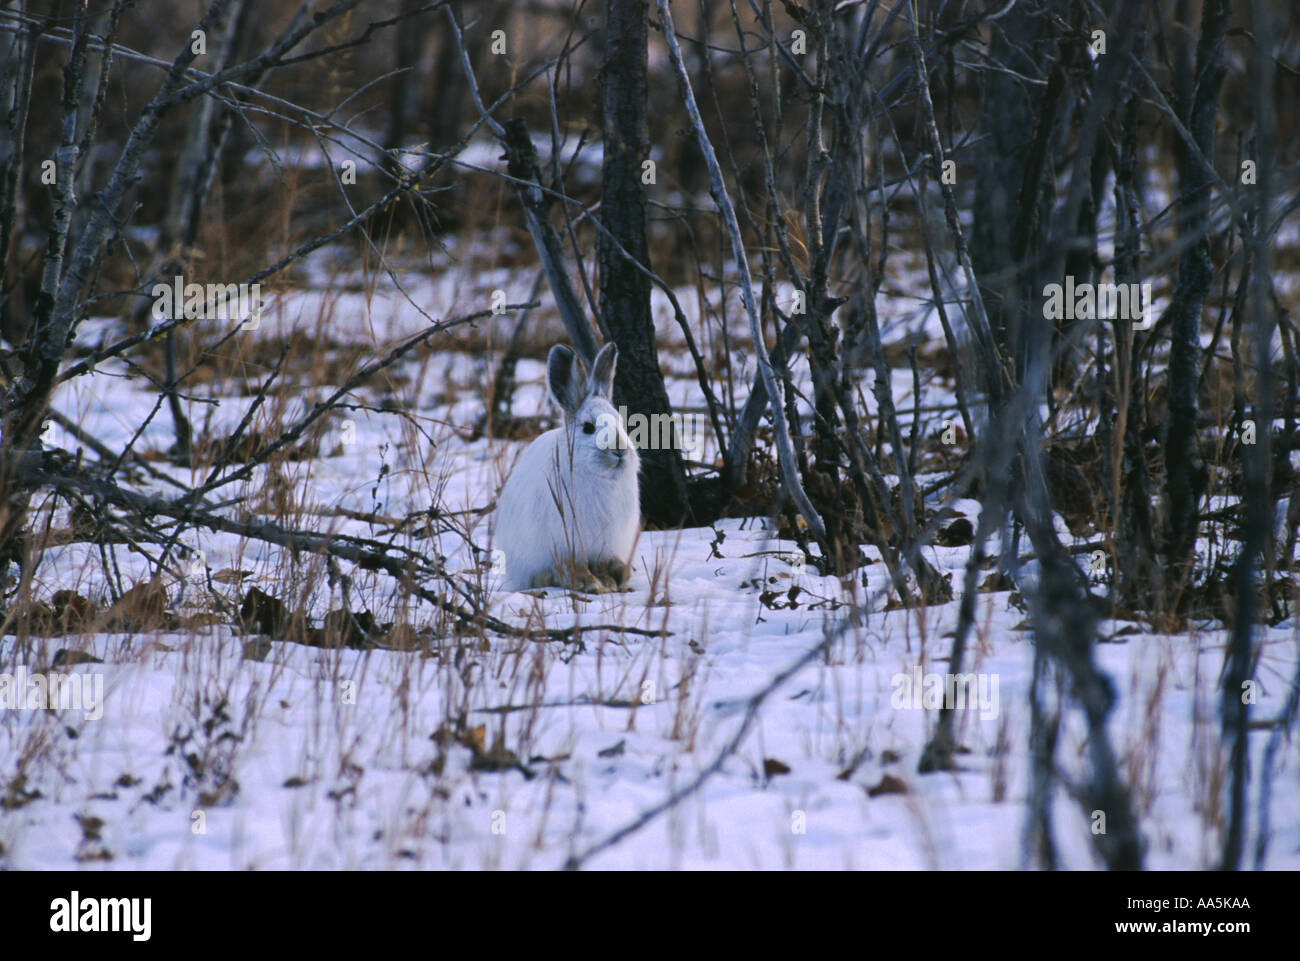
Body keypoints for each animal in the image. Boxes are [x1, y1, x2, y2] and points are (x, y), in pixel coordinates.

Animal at [495, 342, 641, 592]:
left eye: (621, 424)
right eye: (588, 427)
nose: (619, 450)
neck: (600, 476)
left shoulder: (605, 545)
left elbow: (605, 565)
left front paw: (612, 580)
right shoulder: (567, 543)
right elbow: (574, 567)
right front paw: (593, 585)